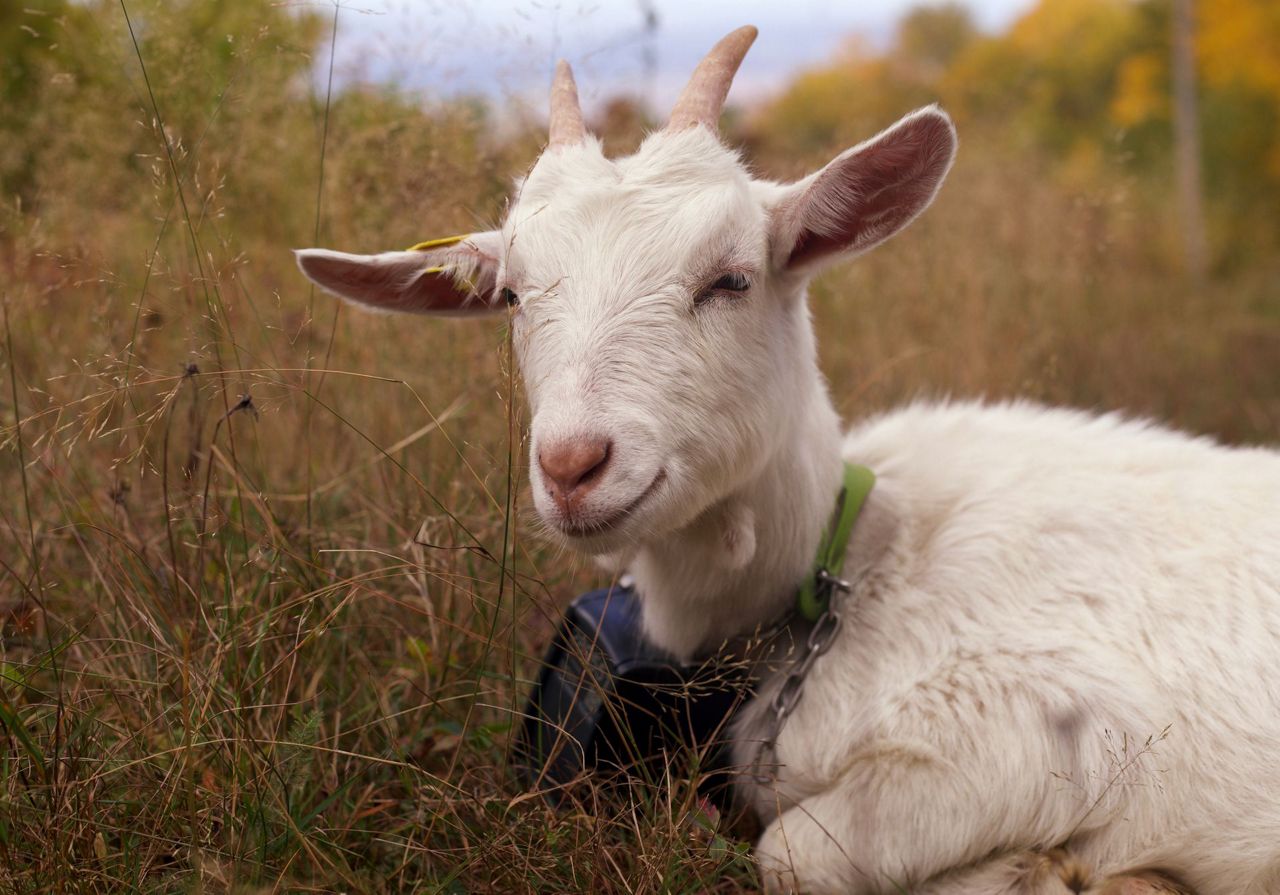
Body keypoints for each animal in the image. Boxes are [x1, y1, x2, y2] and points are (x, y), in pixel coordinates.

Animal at [295, 25, 1280, 895]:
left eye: (731, 278)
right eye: (508, 295)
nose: (574, 464)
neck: (845, 570)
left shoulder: (1058, 724)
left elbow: (789, 851)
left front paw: (1058, 871)